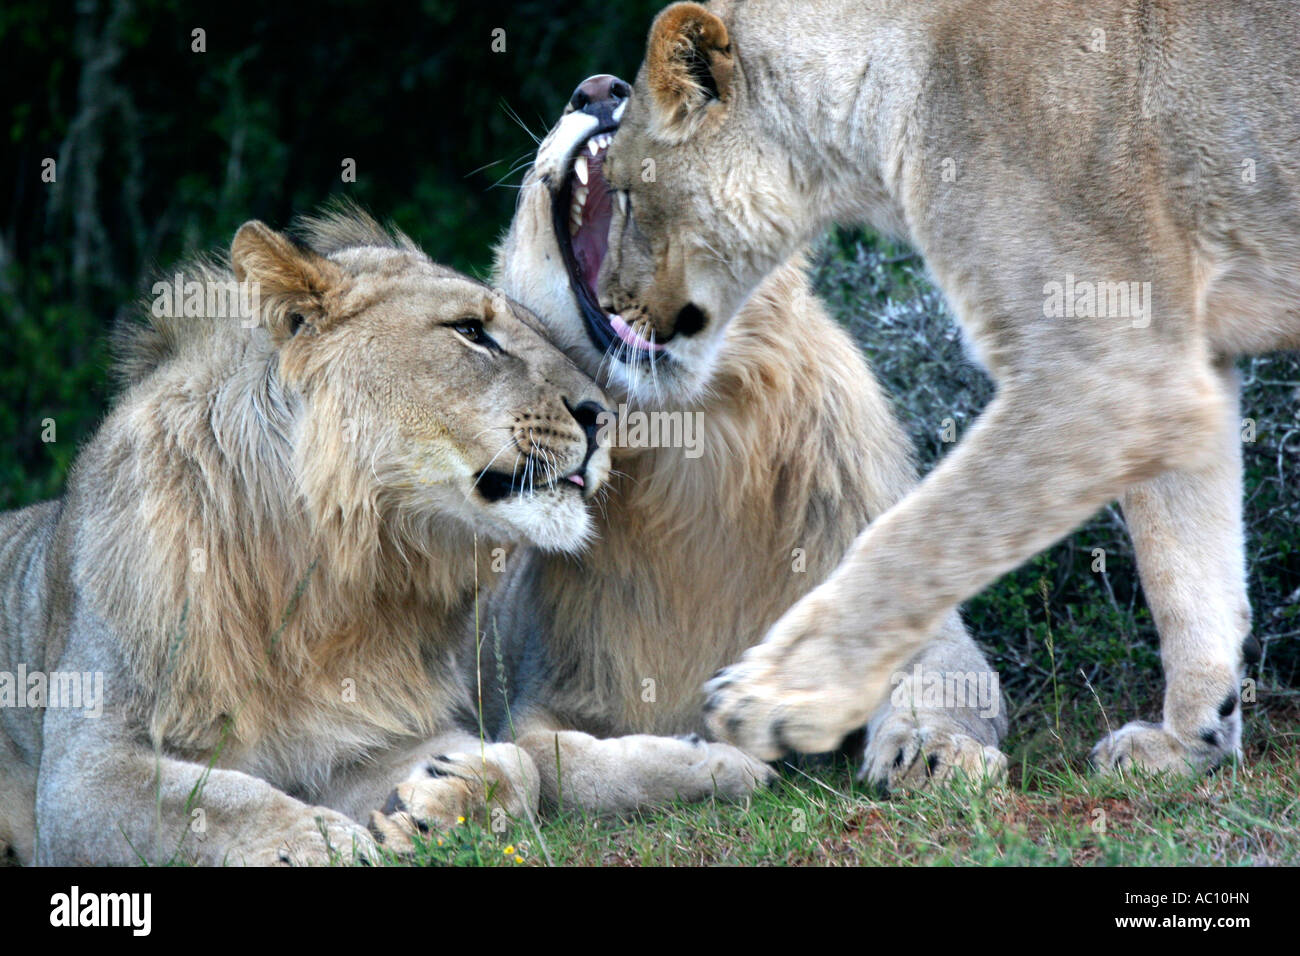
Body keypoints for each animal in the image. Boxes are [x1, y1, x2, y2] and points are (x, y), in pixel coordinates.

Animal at [0, 207, 612, 865]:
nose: (604, 416)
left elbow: (523, 763)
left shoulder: (354, 737)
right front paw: (324, 841)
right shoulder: (83, 771)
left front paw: (439, 799)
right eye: (471, 330)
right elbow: (215, 800)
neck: (324, 575)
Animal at [481, 73, 1006, 814]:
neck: (691, 443)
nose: (601, 88)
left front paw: (935, 754)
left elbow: (948, 677)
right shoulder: (535, 689)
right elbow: (556, 763)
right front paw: (717, 762)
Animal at [594, 0, 1300, 773]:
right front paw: (1192, 740)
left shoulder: (1109, 367)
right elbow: (1187, 569)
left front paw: (775, 694)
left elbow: (920, 536)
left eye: (623, 192)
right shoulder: (1179, 367)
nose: (606, 300)